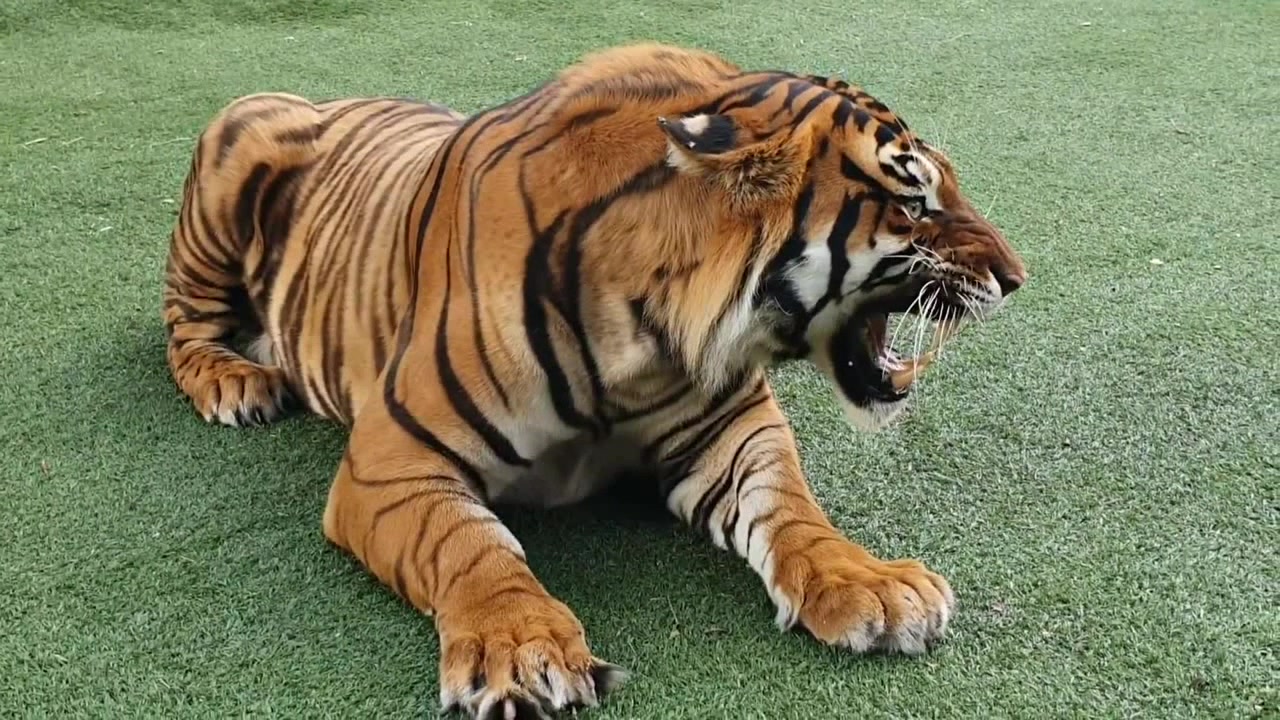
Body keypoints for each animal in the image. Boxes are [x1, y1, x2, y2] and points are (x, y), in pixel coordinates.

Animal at [162, 42, 1026, 719]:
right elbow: (471, 545)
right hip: (240, 142)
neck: (649, 335)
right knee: (180, 325)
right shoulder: (392, 462)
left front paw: (874, 585)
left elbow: (791, 508)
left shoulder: (734, 430)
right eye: (914, 201)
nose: (1018, 278)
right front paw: (521, 648)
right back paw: (235, 383)